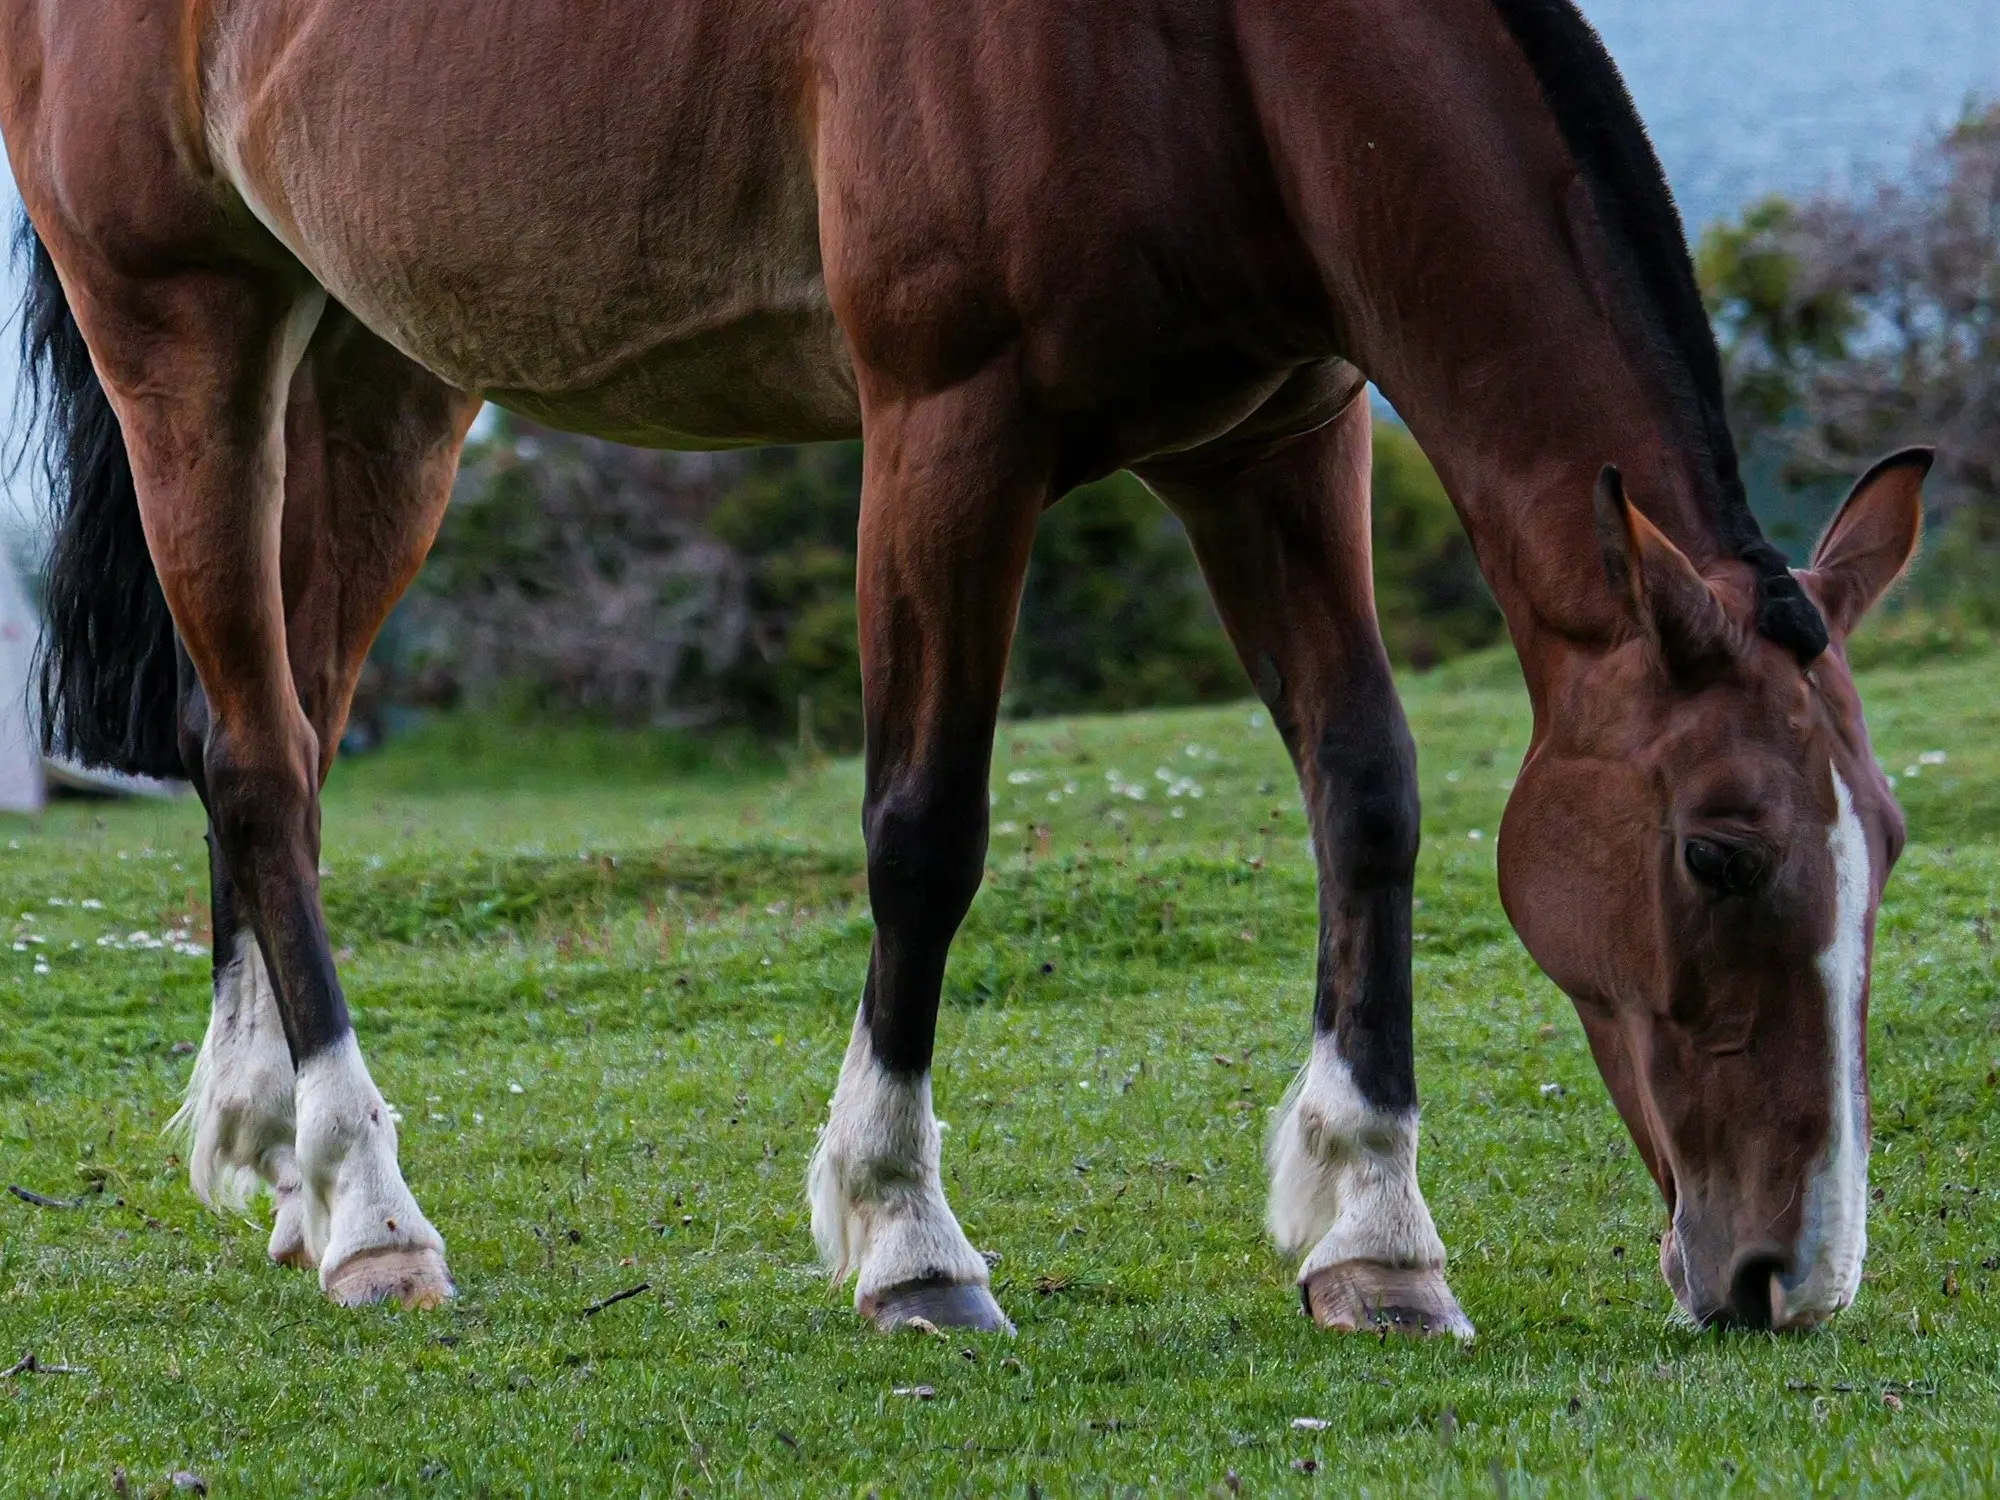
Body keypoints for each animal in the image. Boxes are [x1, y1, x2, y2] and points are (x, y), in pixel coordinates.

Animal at [4, 0, 1928, 1337]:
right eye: (1718, 854)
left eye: (1887, 853)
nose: (1790, 1273)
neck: (1217, 60)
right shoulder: (948, 436)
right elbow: (924, 834)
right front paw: (903, 1238)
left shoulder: (1277, 439)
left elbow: (1367, 790)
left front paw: (1376, 1234)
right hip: (187, 333)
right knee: (260, 757)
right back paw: (369, 1207)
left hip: (383, 369)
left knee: (286, 735)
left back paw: (281, 1162)